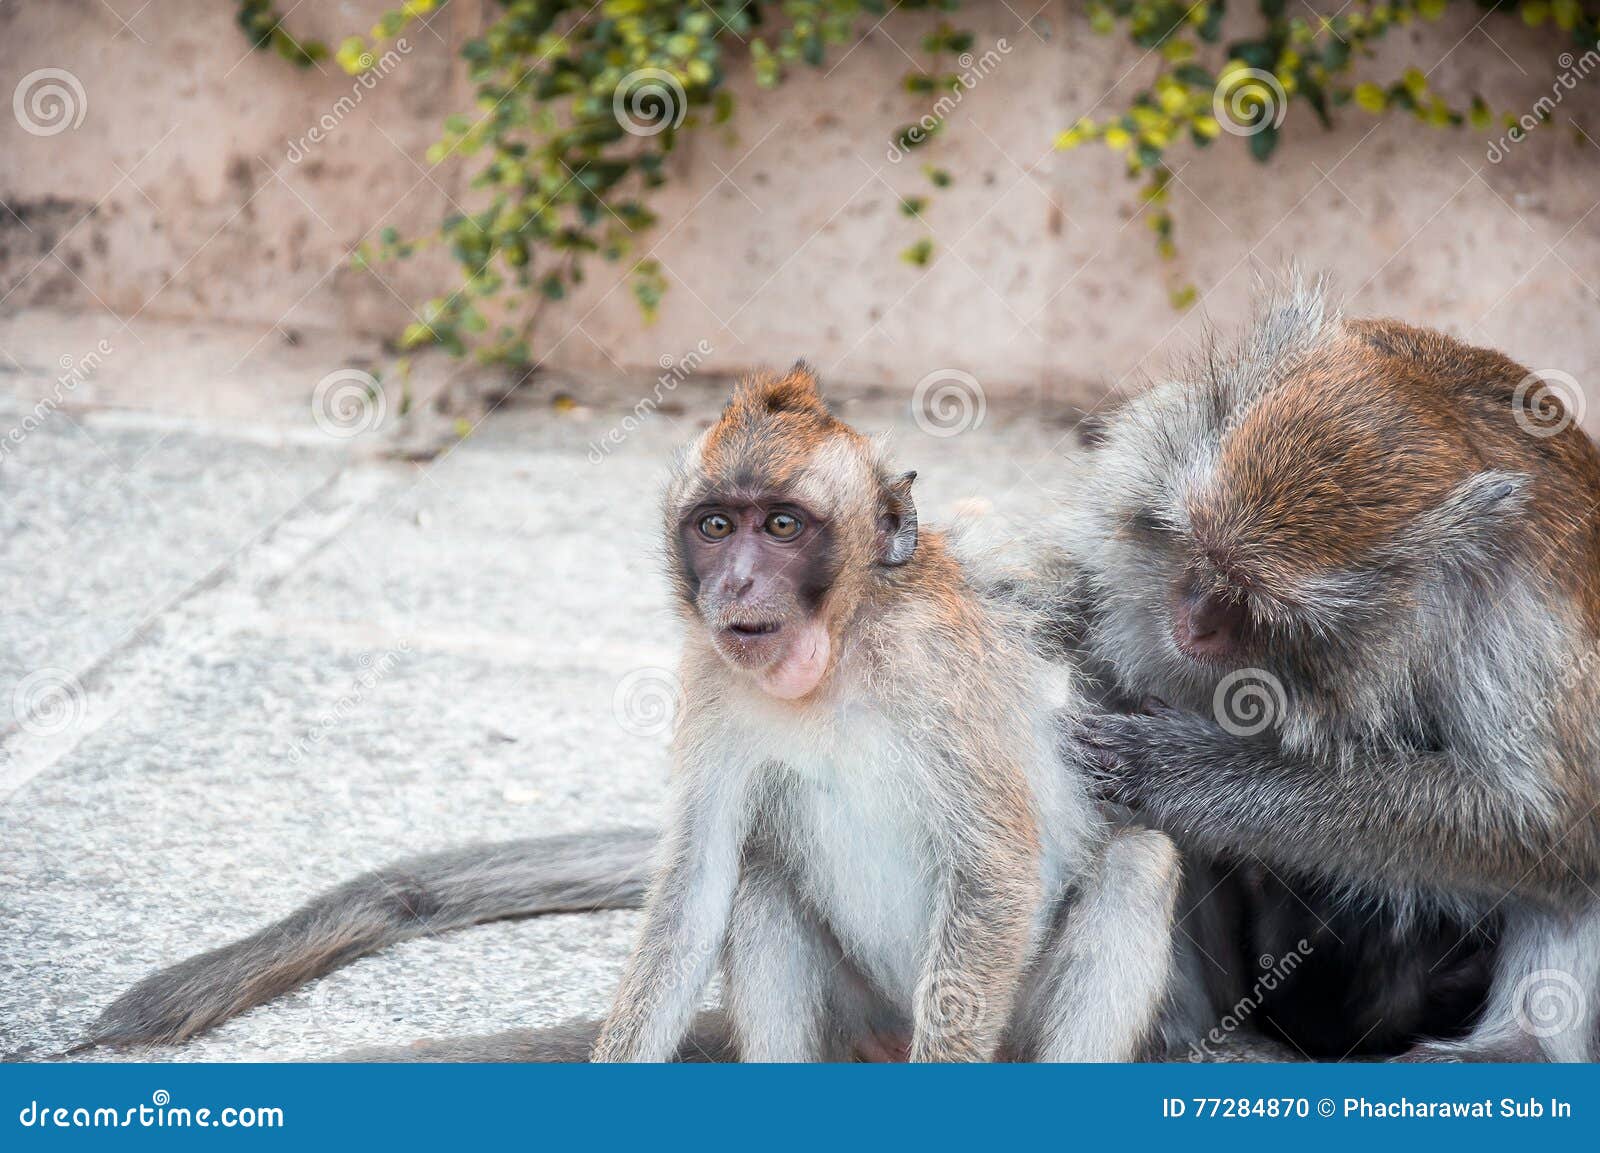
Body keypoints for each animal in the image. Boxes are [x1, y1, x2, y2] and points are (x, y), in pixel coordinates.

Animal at [87, 366, 1182, 1063]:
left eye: (783, 526)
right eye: (716, 526)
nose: (735, 582)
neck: (834, 660)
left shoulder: (935, 670)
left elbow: (996, 871)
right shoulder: (710, 678)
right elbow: (696, 891)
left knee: (1136, 864)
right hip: (860, 1015)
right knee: (758, 881)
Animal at [1067, 277, 1600, 1062]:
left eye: (1253, 599)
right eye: (1204, 551)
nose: (1194, 620)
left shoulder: (1520, 623)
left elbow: (1544, 820)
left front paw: (1172, 769)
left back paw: (1520, 1044)